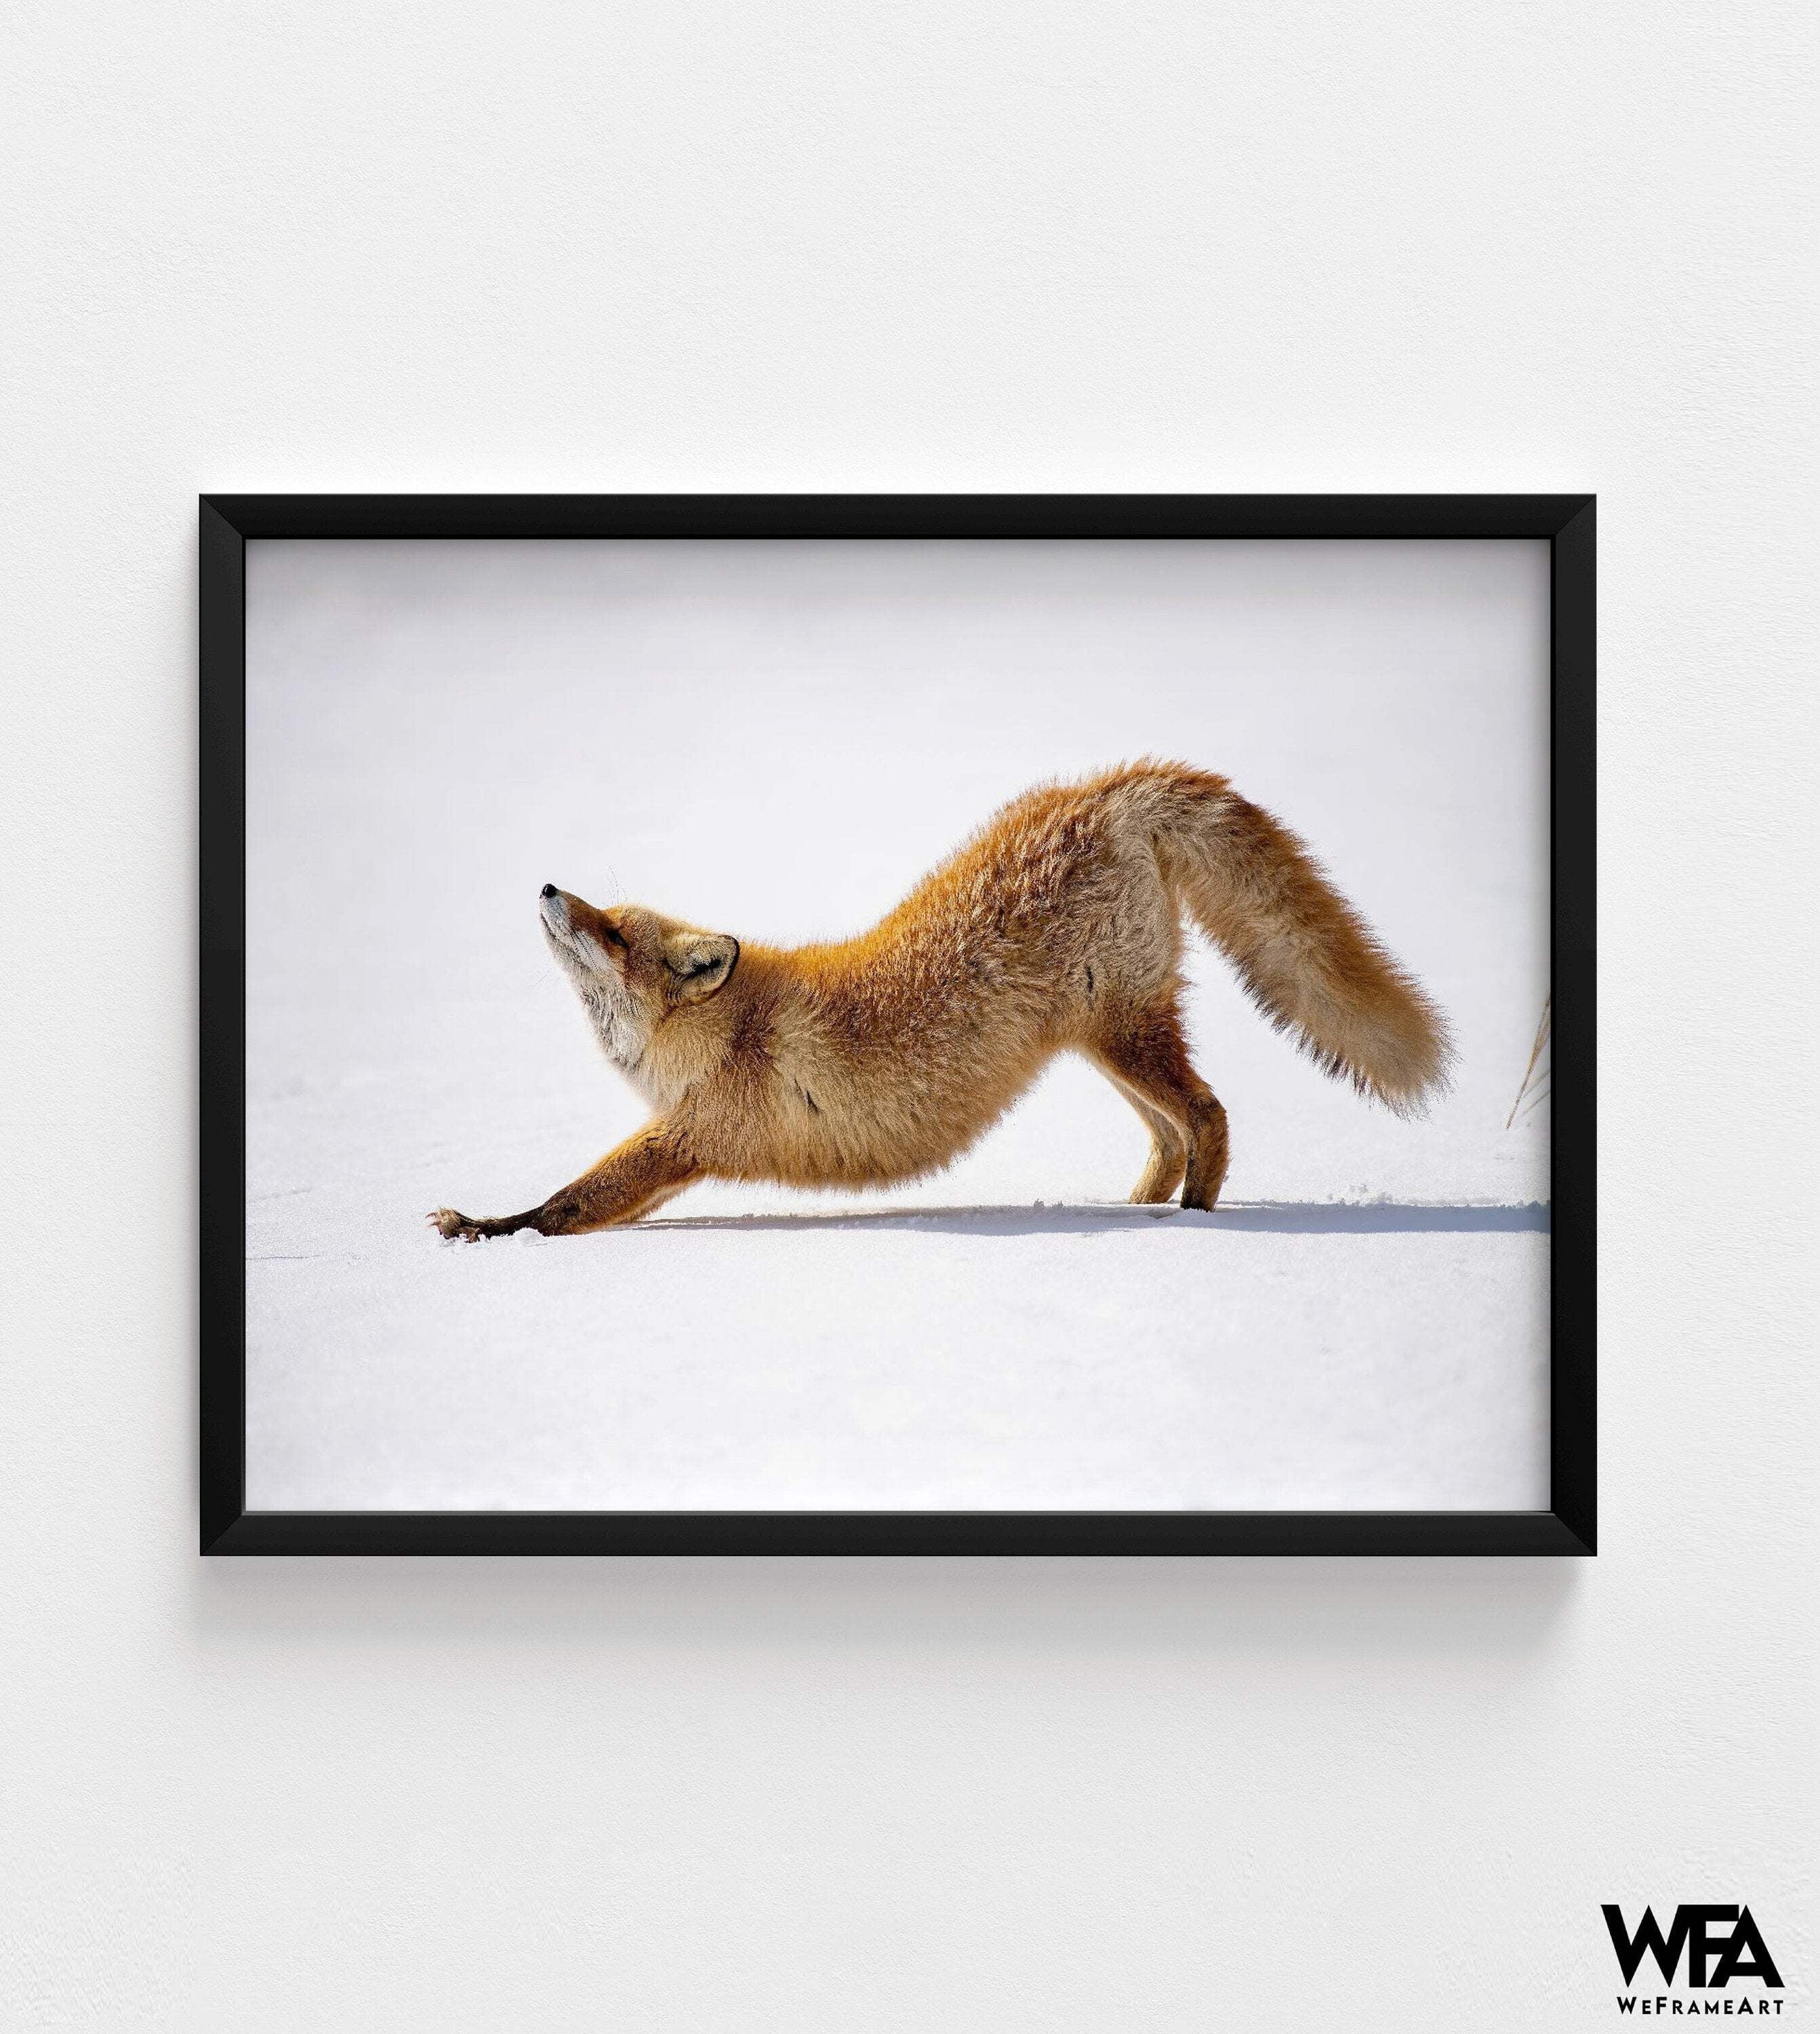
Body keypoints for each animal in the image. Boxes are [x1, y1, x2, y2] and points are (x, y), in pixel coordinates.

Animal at [430, 760, 1453, 1240]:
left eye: (613, 934)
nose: (550, 889)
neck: (724, 1032)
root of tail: (1101, 790)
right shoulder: (690, 1142)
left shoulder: (690, 1137)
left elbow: (565, 1204)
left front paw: (489, 1229)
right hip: (1100, 1042)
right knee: (1173, 1132)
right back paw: (1137, 1211)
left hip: (1122, 1031)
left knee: (1209, 1115)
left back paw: (1193, 1226)